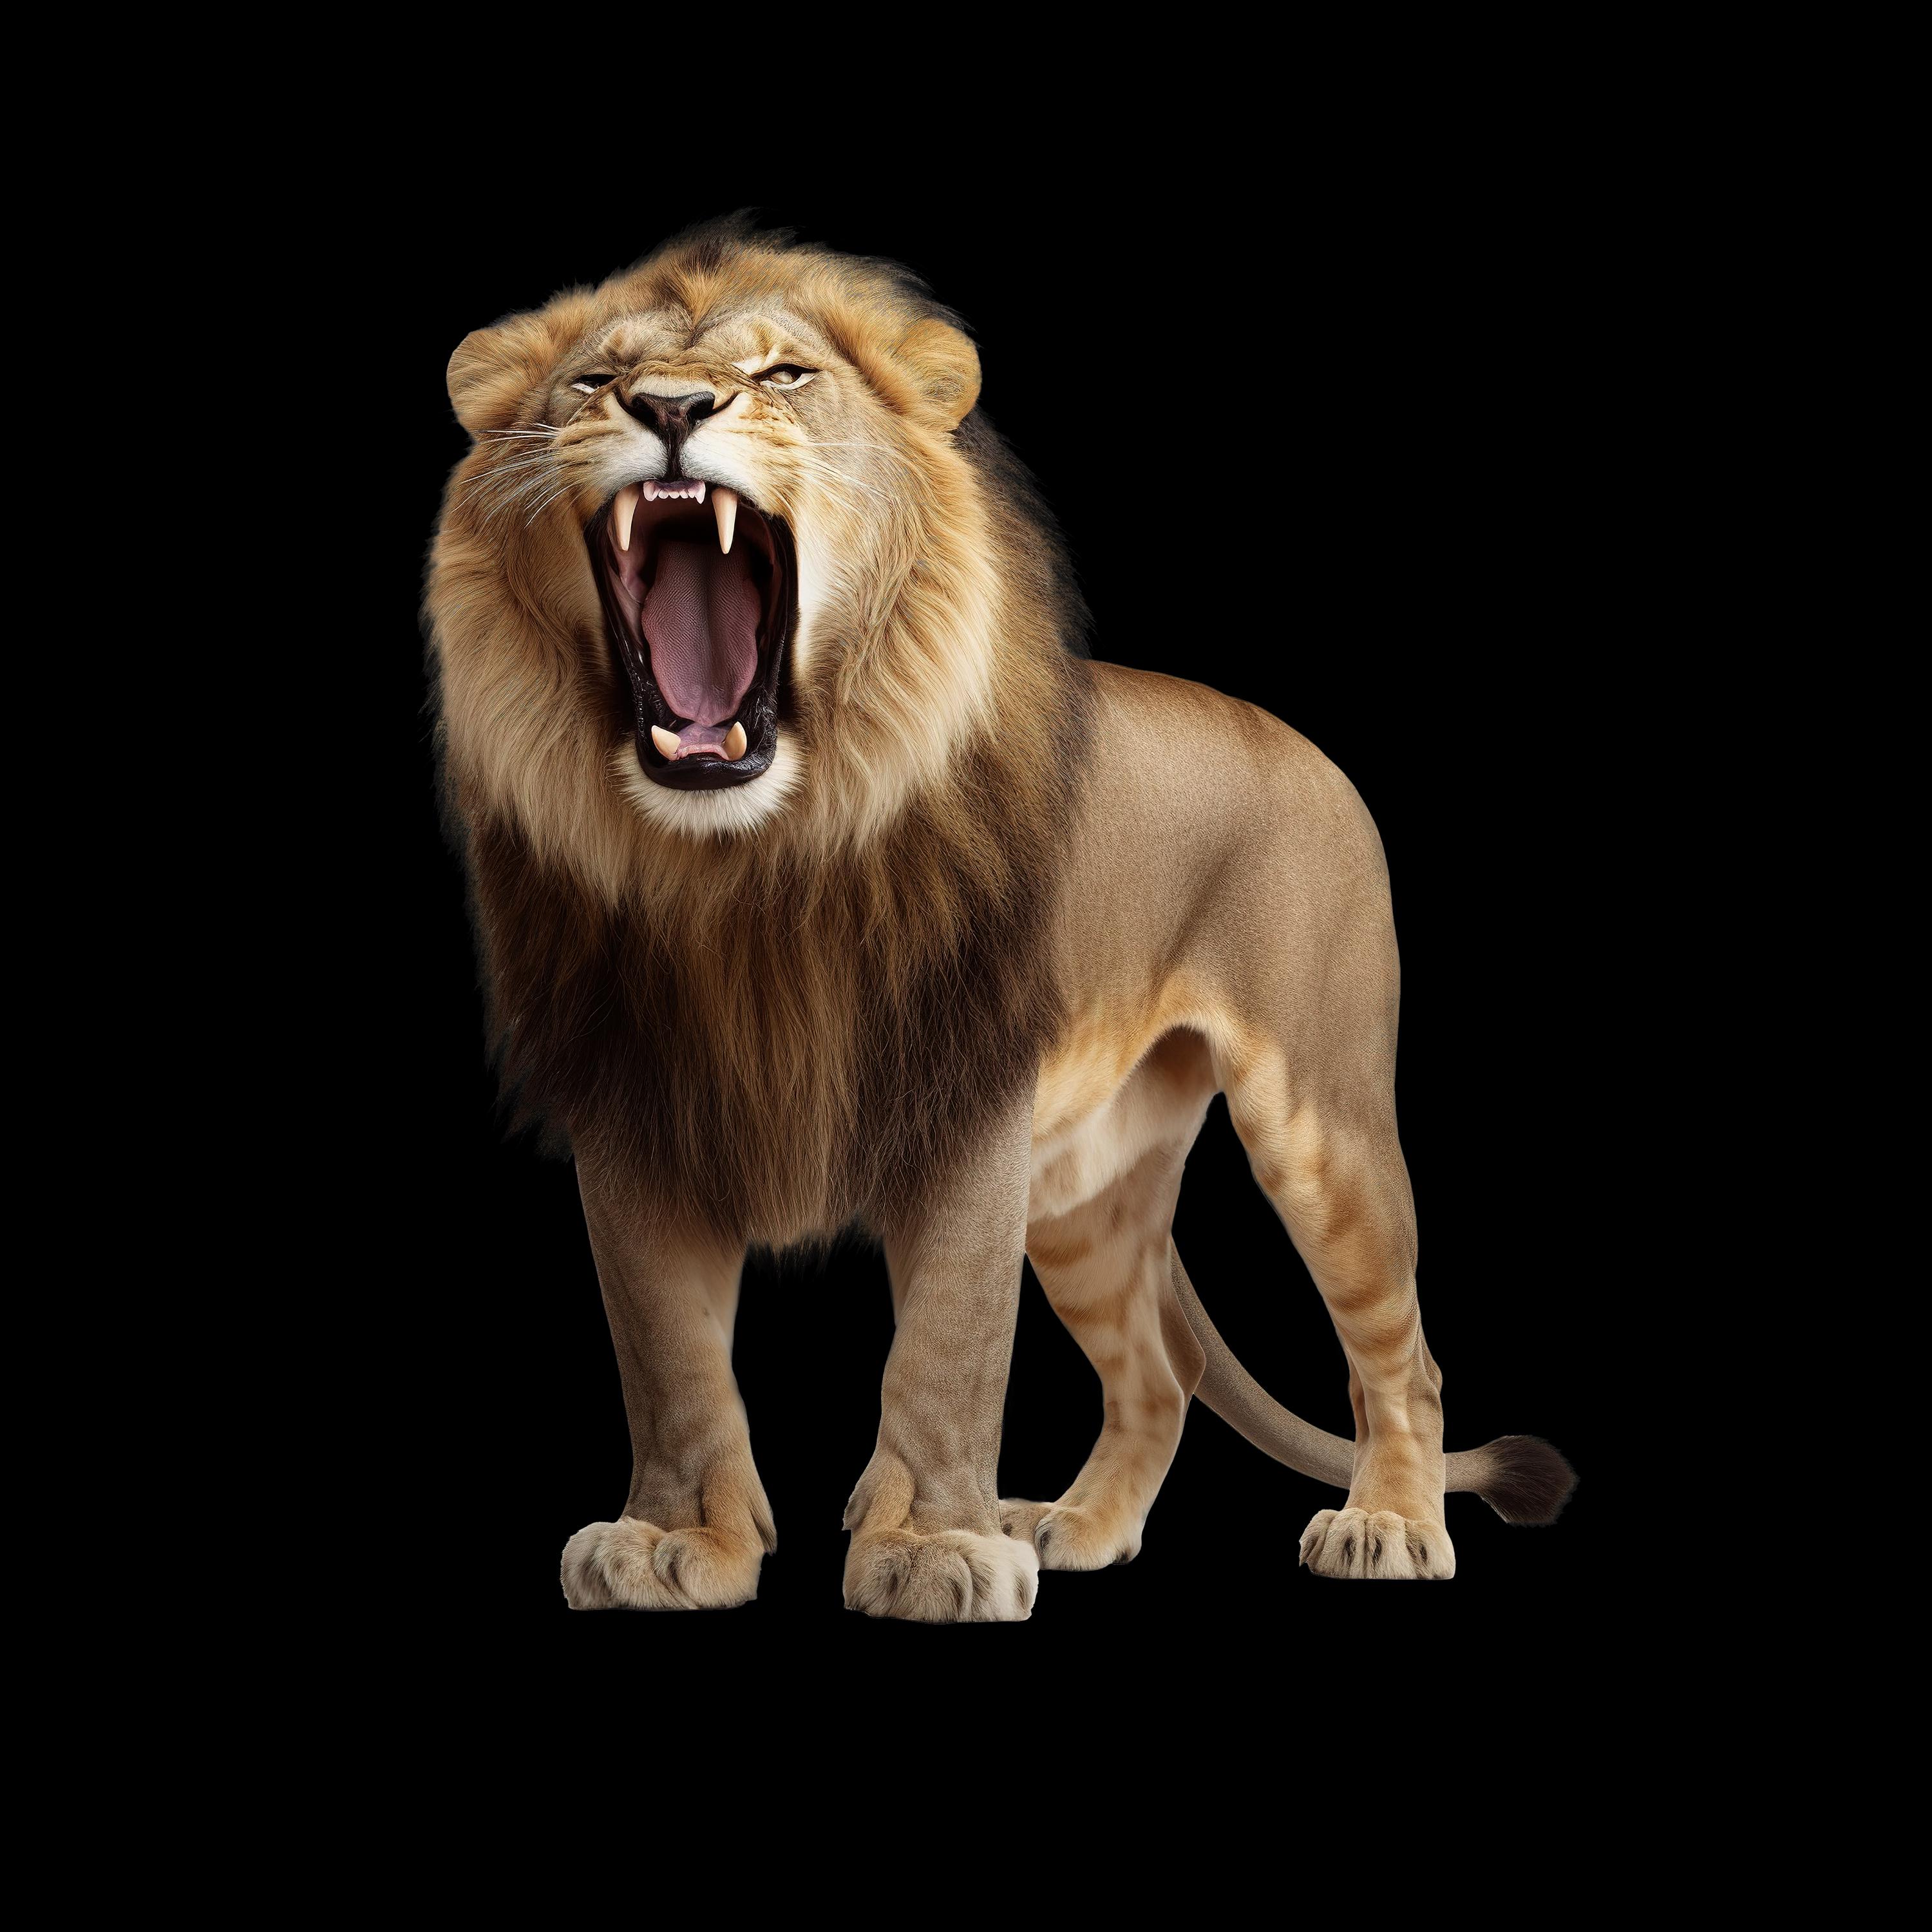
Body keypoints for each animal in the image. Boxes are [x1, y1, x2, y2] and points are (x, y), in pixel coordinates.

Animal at [426, 219, 1574, 1620]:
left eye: (785, 374)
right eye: (595, 383)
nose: (673, 409)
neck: (746, 869)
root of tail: (1308, 751)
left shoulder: (970, 1100)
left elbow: (947, 1349)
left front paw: (928, 1550)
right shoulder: (634, 1103)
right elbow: (672, 1357)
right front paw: (674, 1542)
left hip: (1323, 1126)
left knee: (1400, 1355)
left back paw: (1390, 1527)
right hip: (1083, 1192)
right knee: (1159, 1377)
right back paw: (1076, 1524)